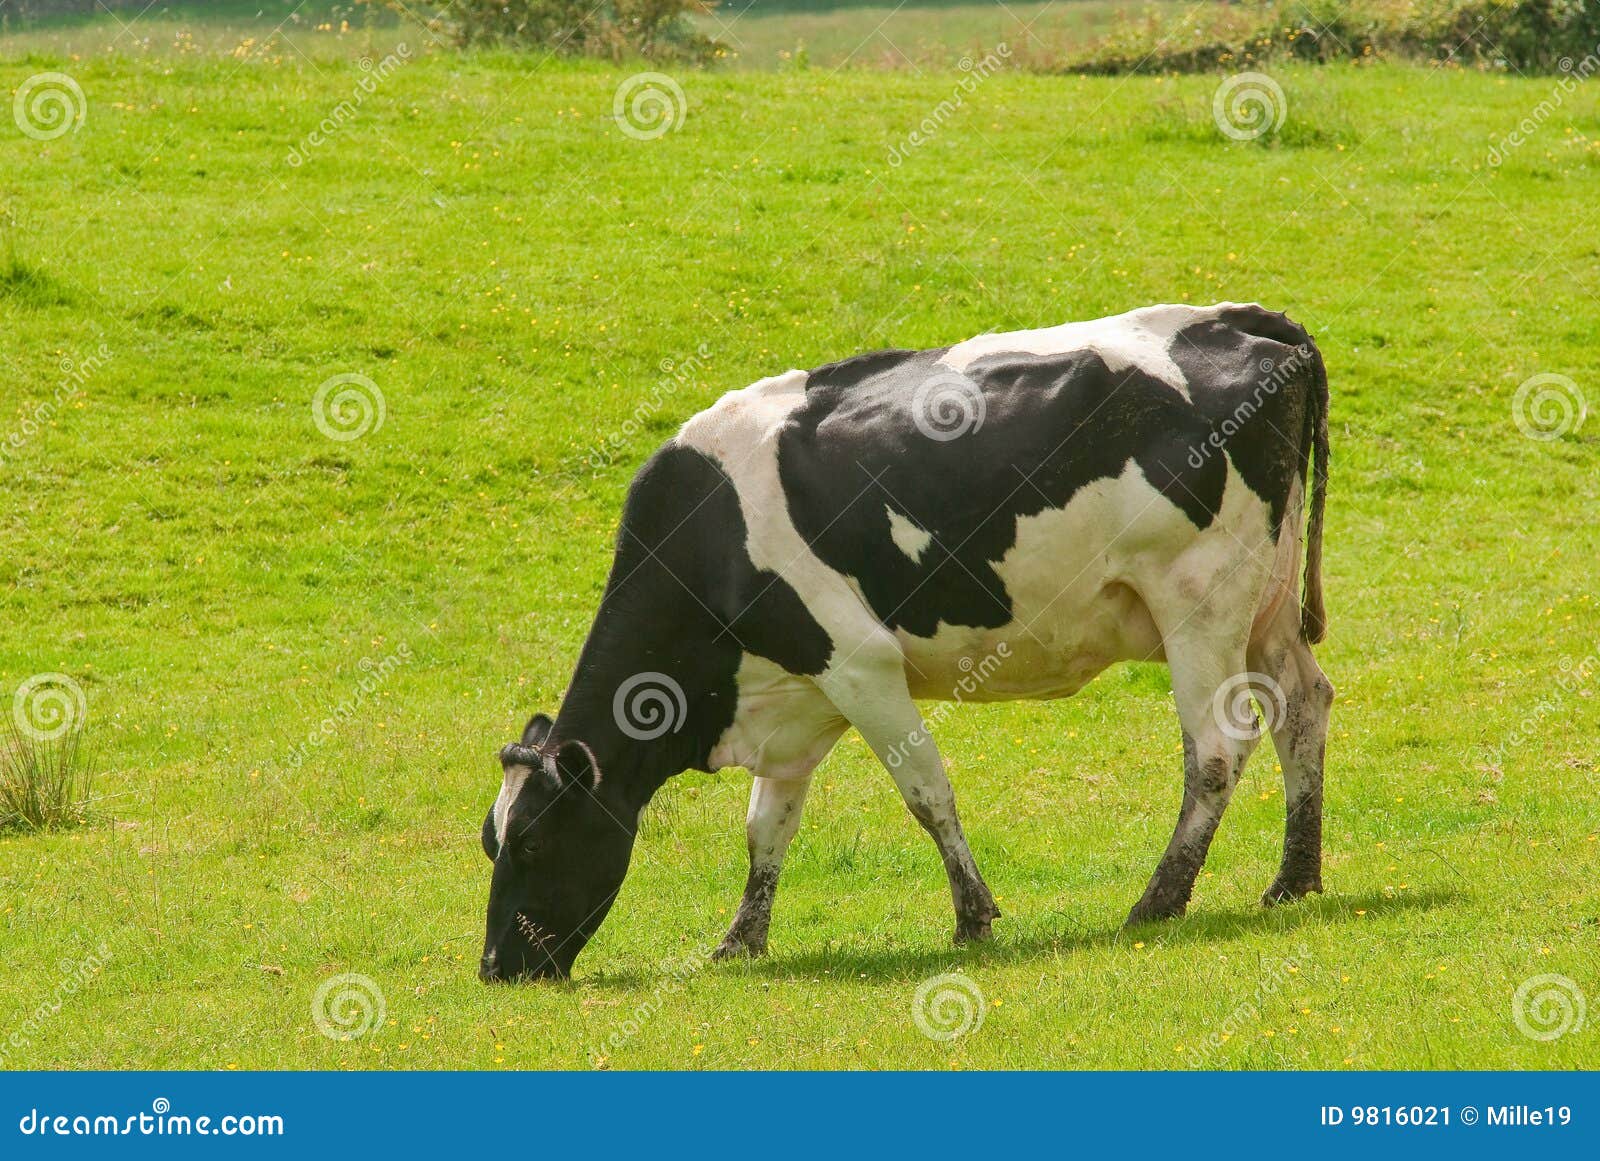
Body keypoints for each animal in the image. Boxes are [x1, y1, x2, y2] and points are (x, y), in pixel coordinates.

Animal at [479, 301, 1332, 982]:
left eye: (531, 843)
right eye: (492, 842)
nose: (494, 968)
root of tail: (1248, 319)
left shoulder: (860, 663)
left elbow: (926, 791)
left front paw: (972, 916)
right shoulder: (798, 697)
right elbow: (766, 828)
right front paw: (740, 940)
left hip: (1199, 601)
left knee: (1217, 749)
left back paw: (1159, 900)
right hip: (1266, 609)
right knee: (1303, 707)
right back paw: (1293, 879)